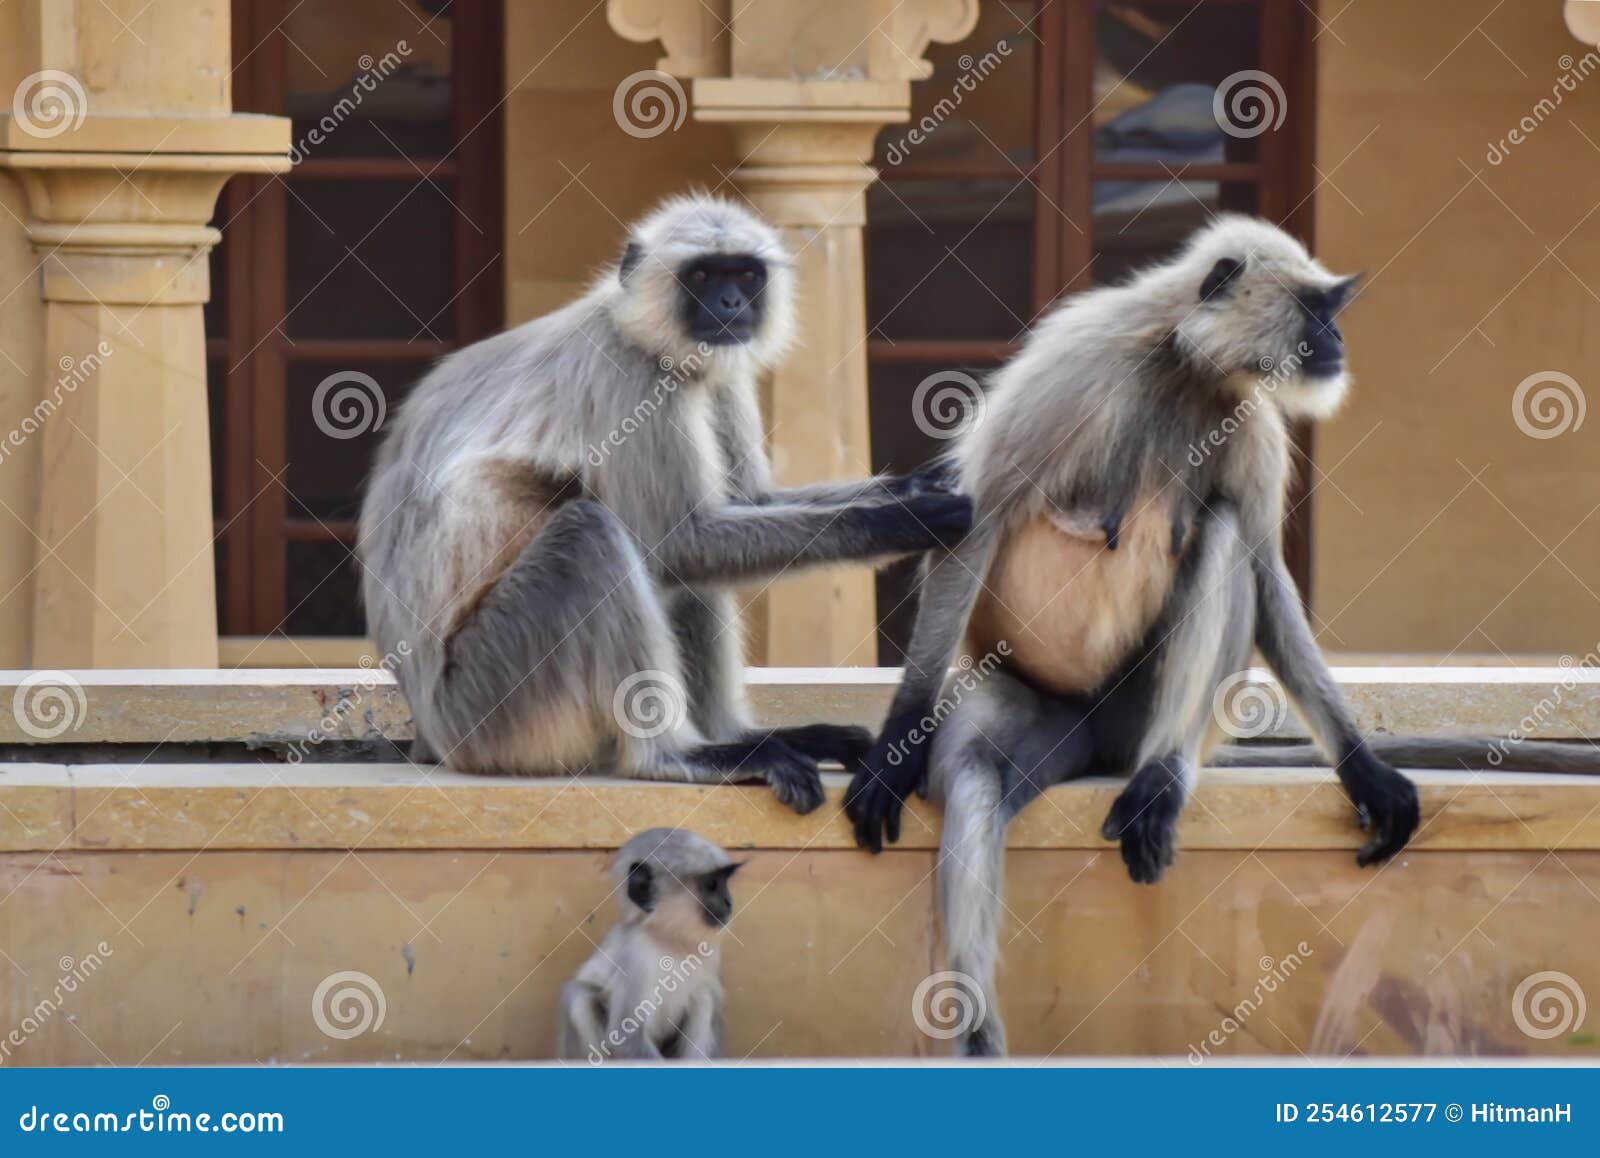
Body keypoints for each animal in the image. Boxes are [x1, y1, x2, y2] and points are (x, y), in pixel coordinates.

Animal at [358, 194, 972, 811]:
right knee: (594, 537)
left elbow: (747, 503)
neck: (634, 329)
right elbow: (678, 542)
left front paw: (917, 487)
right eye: (701, 276)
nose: (729, 303)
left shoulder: (716, 372)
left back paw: (741, 737)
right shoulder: (632, 379)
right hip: (491, 704)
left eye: (745, 275)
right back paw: (677, 756)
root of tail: (432, 735)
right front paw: (906, 520)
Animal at [558, 828, 739, 1062]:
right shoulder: (635, 952)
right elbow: (626, 1037)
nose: (728, 901)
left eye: (723, 882)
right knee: (579, 996)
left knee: (703, 997)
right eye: (712, 885)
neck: (668, 939)